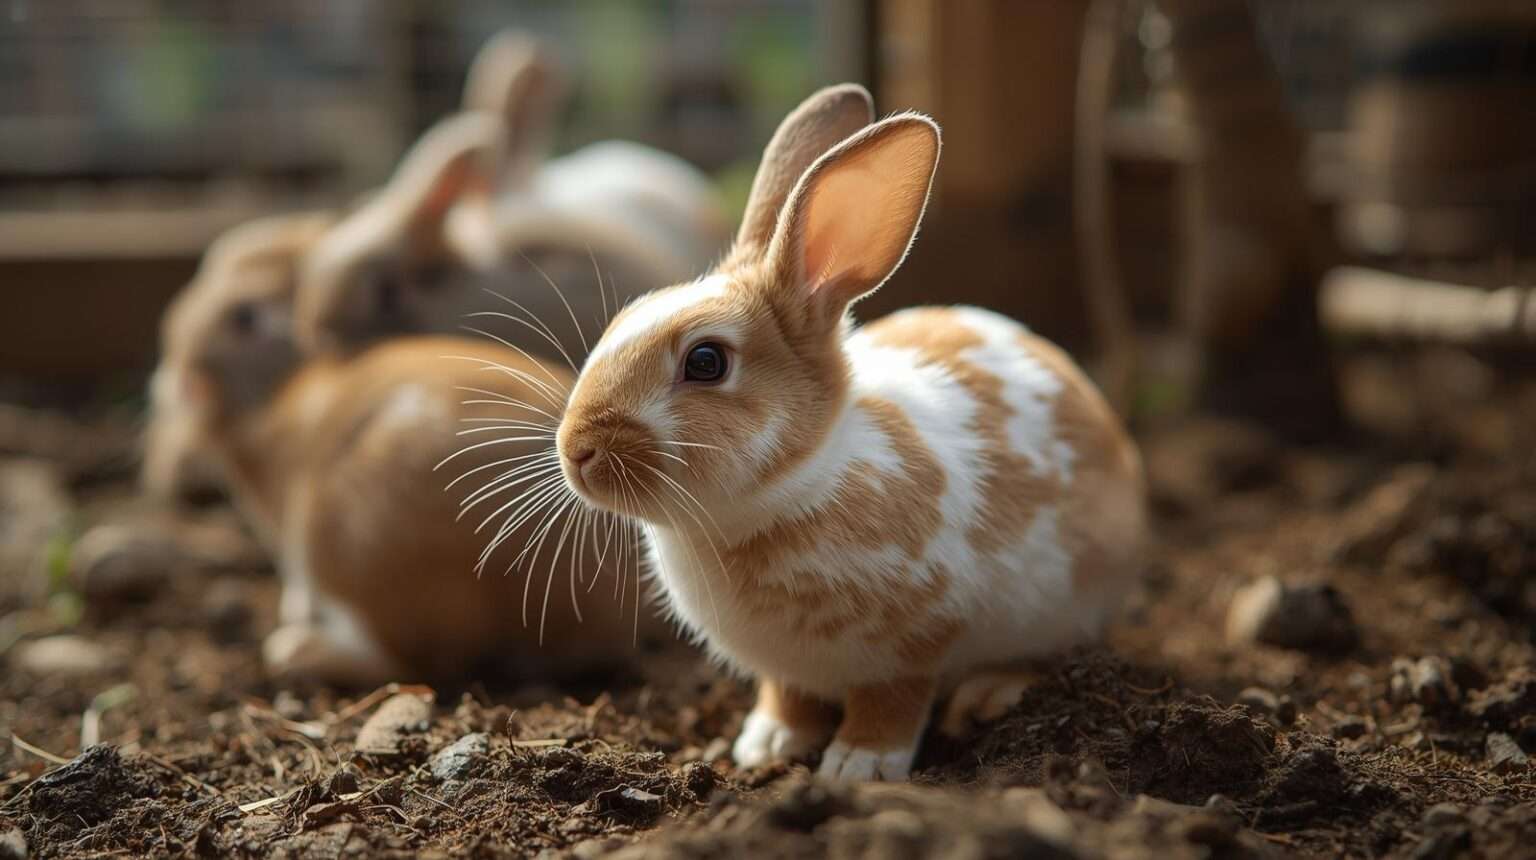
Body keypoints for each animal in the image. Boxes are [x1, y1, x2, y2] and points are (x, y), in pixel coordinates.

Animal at [153, 213, 666, 685]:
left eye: (243, 316)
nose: (179, 374)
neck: (283, 387)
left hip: (347, 541)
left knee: (406, 660)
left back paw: (297, 651)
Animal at [547, 85, 1146, 781]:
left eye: (706, 362)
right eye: (625, 317)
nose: (576, 451)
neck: (781, 497)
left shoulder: (921, 637)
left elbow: (894, 699)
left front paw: (858, 764)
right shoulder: (785, 669)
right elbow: (787, 695)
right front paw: (767, 744)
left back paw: (988, 693)